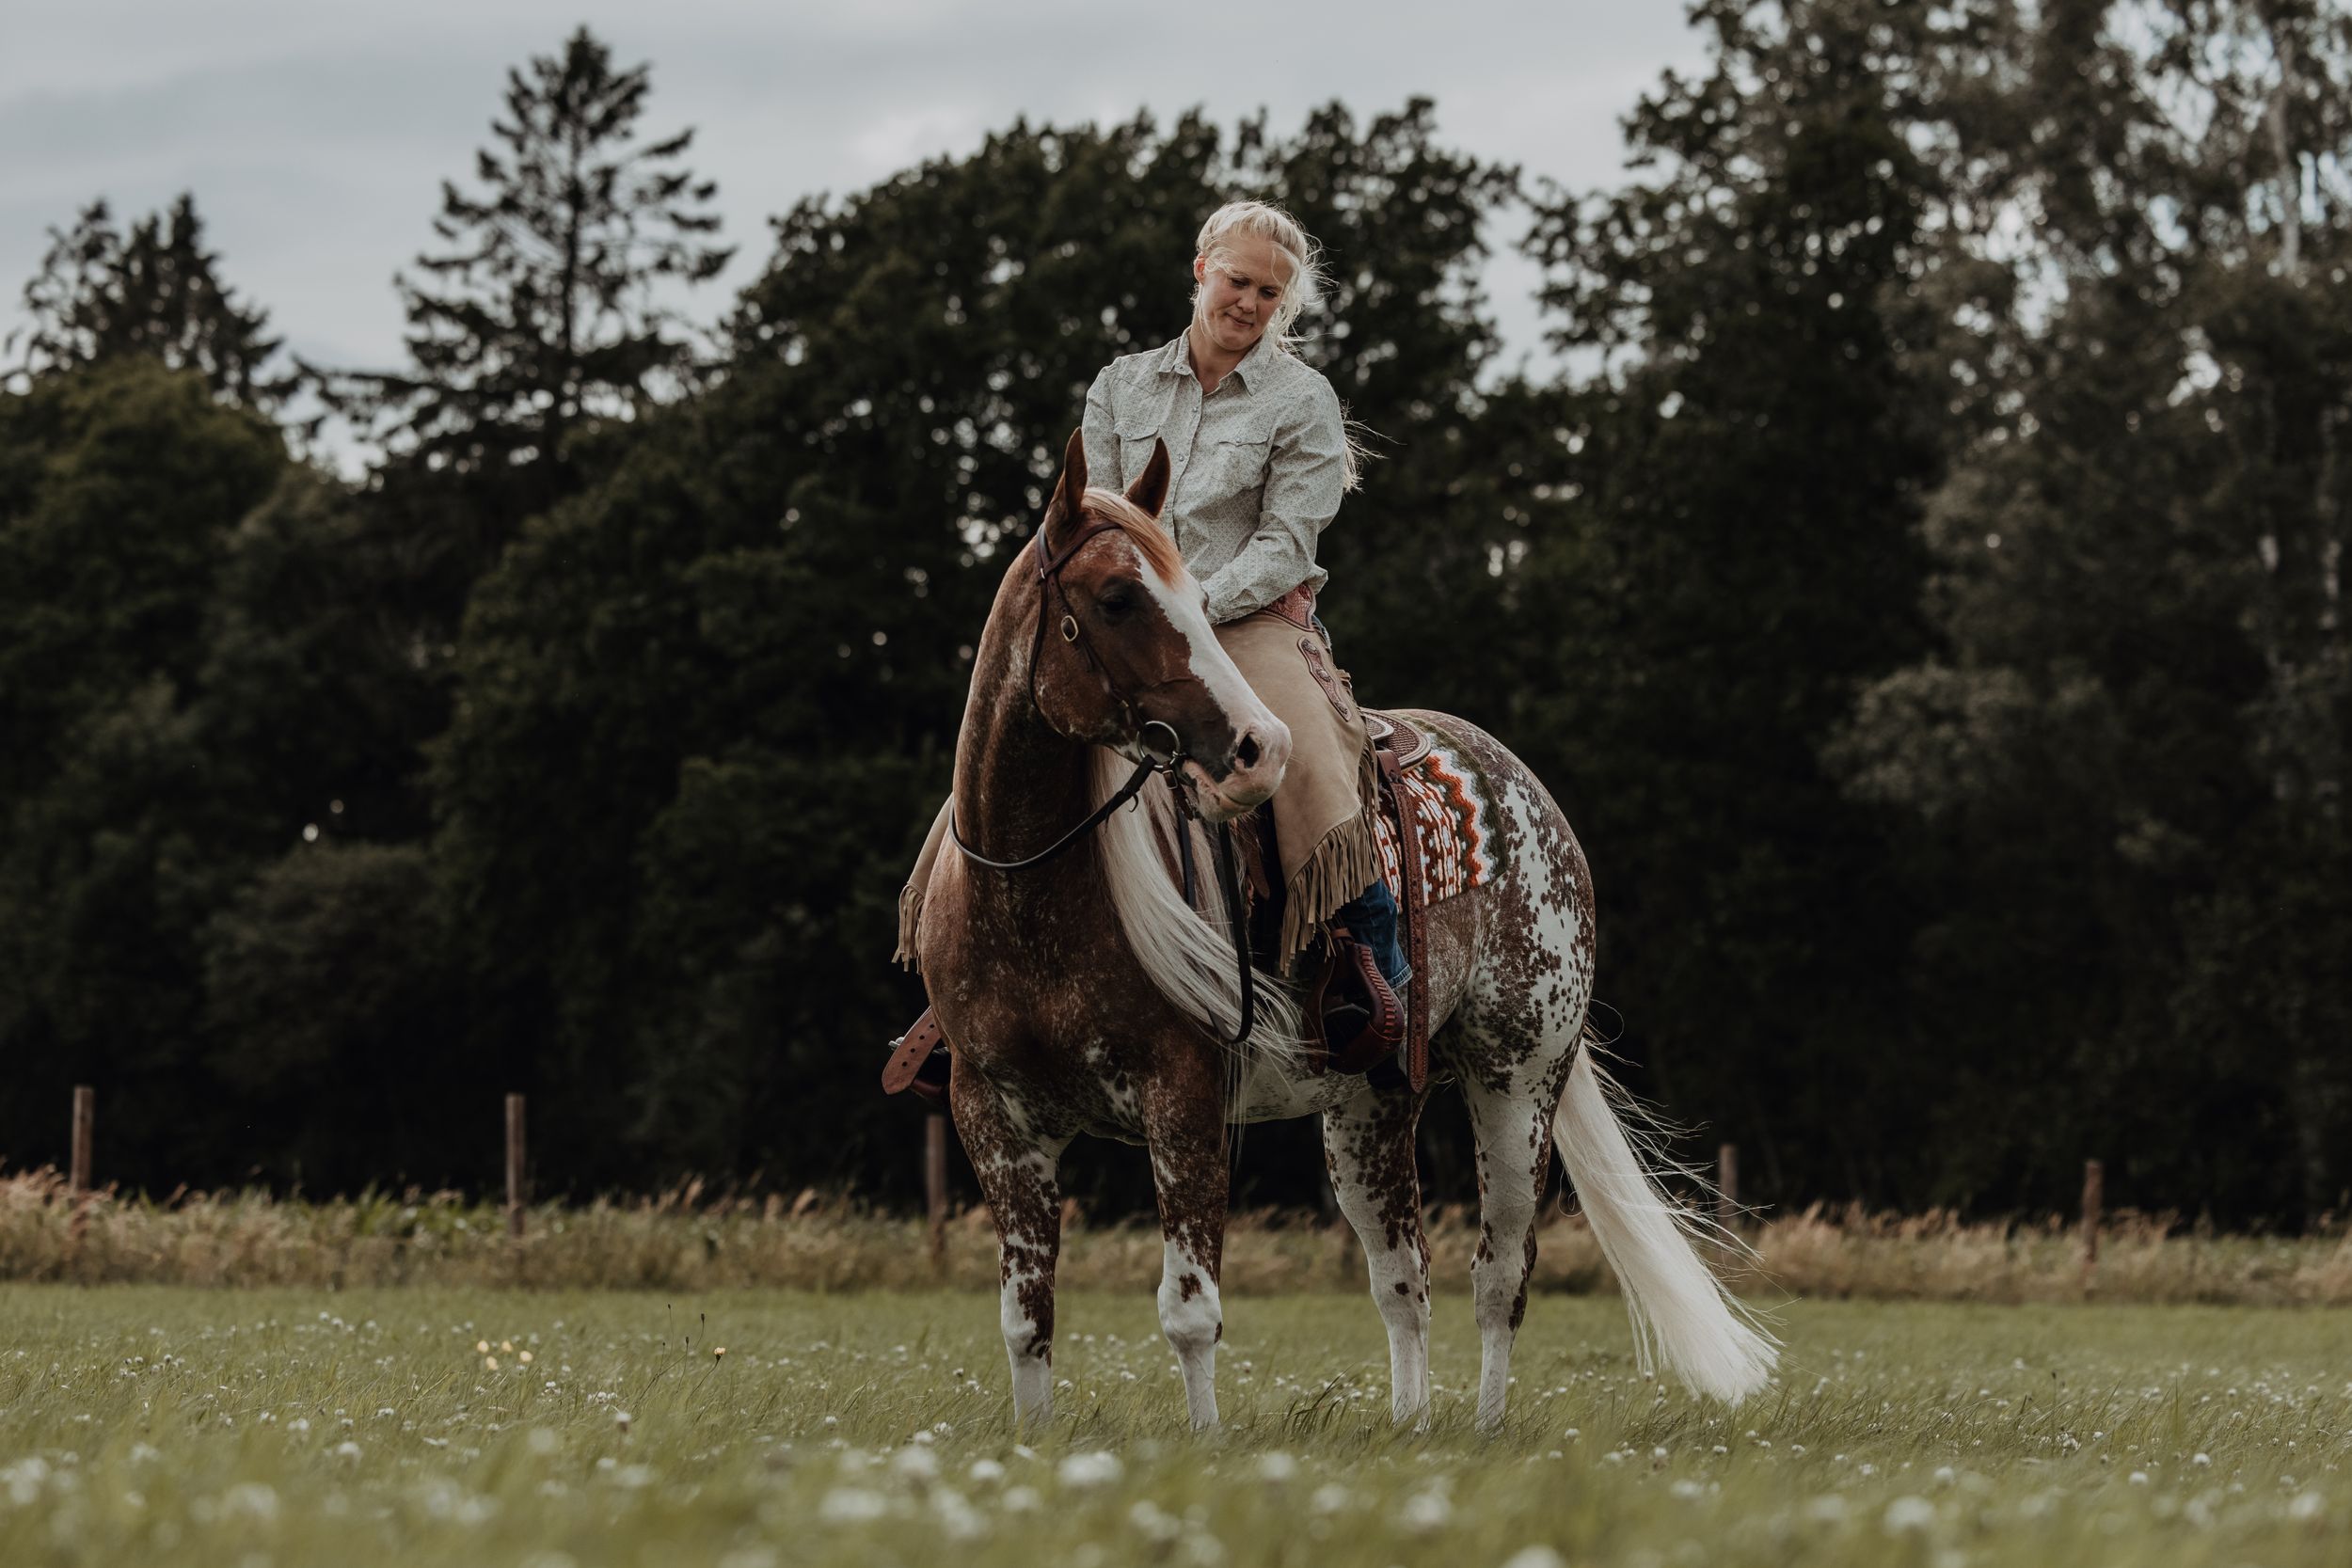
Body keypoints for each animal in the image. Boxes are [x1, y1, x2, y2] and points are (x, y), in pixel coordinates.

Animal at [911, 429, 1776, 1433]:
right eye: (1118, 596)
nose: (1259, 748)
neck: (1034, 899)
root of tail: (1521, 784)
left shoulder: (1184, 1102)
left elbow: (1190, 1311)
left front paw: (1201, 1443)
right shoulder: (994, 1118)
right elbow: (1028, 1314)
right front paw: (1035, 1437)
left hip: (1519, 1081)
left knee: (1500, 1273)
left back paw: (1484, 1428)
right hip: (1370, 1106)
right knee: (1404, 1276)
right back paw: (1410, 1425)